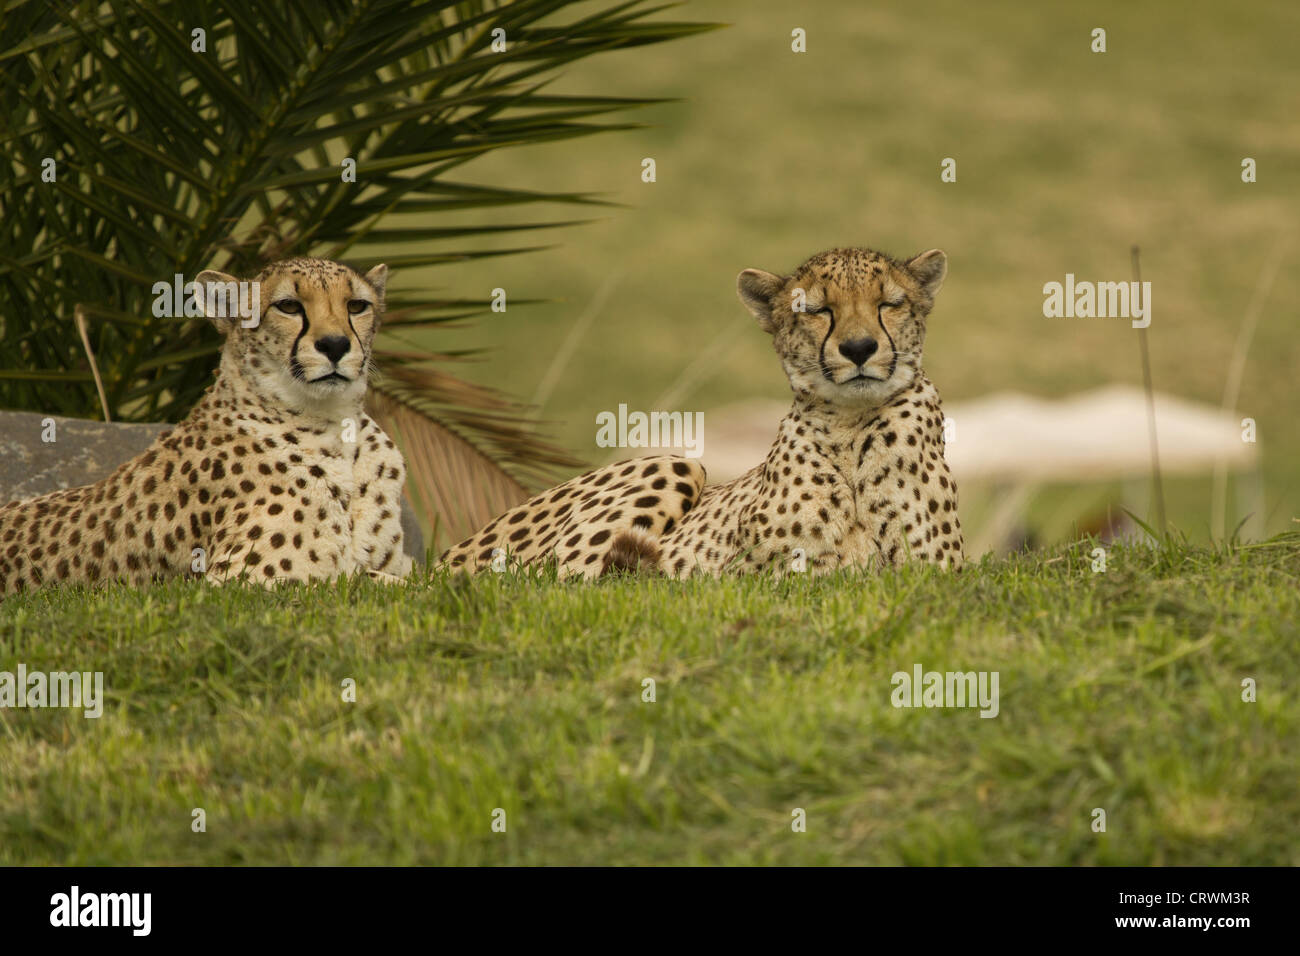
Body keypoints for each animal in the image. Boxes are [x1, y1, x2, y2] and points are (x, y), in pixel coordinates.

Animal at [0, 256, 412, 596]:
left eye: (356, 306)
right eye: (289, 306)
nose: (335, 344)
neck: (335, 425)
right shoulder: (238, 583)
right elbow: (368, 580)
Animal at [437, 246, 962, 579]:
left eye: (889, 303)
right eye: (816, 310)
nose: (858, 348)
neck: (851, 428)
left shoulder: (932, 572)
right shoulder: (748, 579)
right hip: (673, 463)